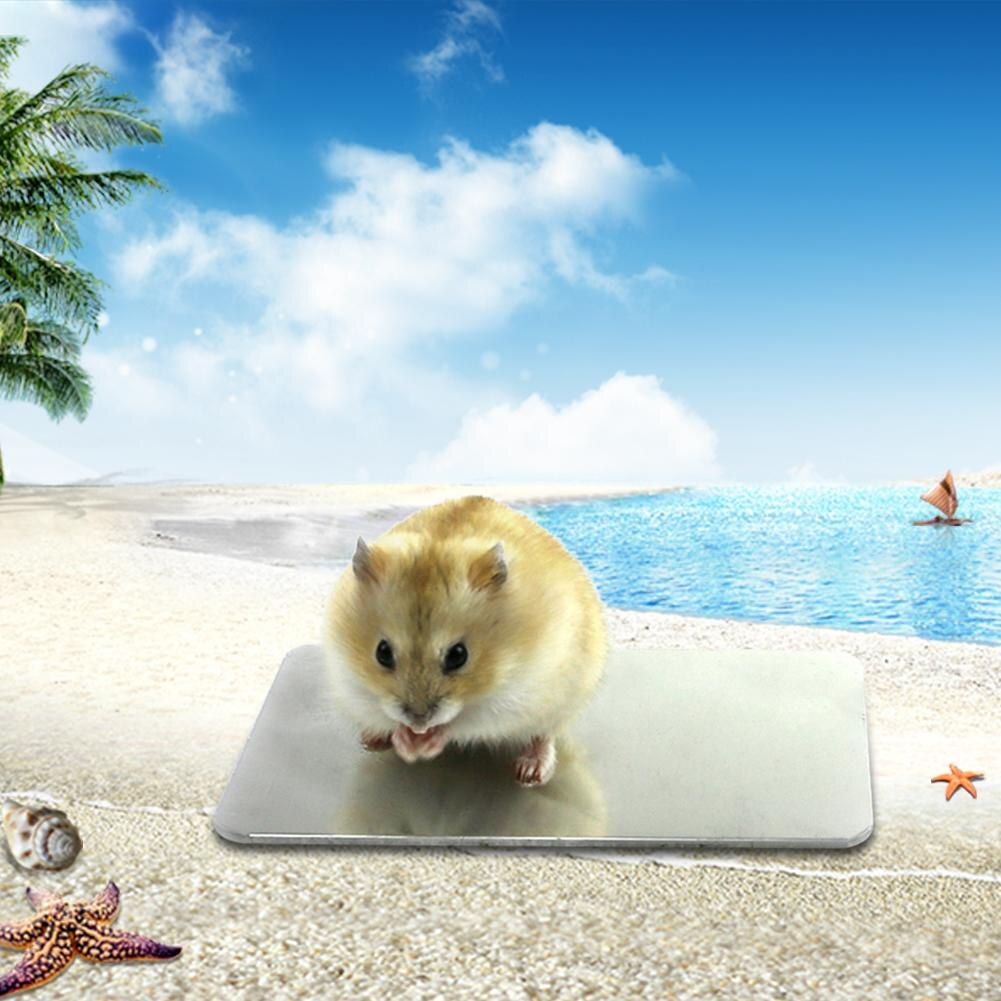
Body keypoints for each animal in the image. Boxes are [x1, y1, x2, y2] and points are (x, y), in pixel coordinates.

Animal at [324, 495, 607, 786]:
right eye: (382, 653)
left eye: (458, 655)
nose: (419, 723)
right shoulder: (351, 683)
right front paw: (407, 742)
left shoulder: (512, 698)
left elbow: (461, 724)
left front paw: (421, 747)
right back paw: (373, 739)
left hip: (562, 703)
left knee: (544, 735)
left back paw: (530, 772)